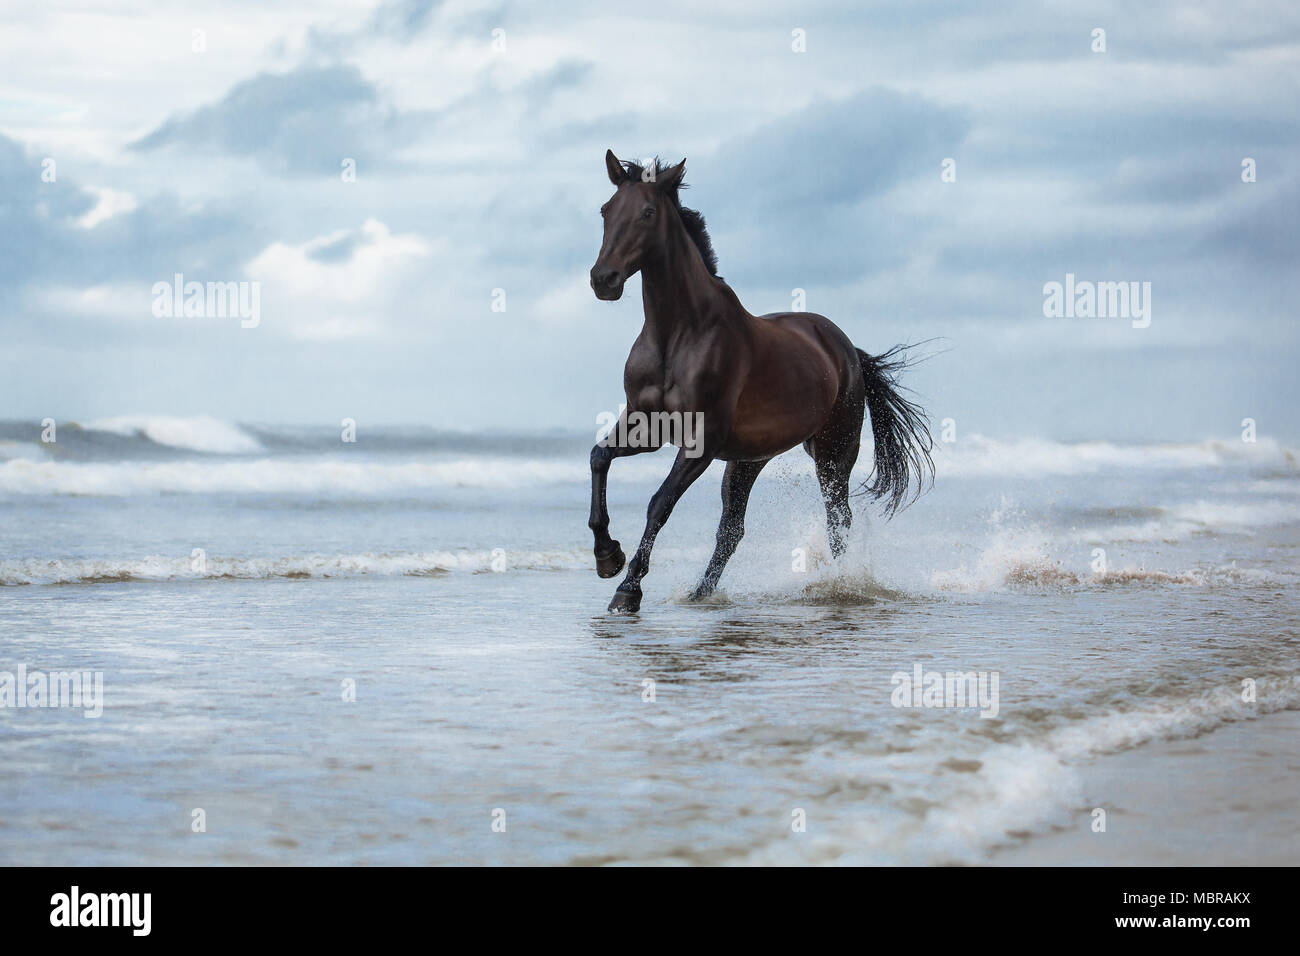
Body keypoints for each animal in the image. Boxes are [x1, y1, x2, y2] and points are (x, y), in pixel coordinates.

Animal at [587, 149, 932, 613]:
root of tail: (847, 350)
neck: (677, 334)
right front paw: (608, 556)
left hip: (833, 455)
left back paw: (842, 587)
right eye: (606, 210)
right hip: (747, 460)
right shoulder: (647, 425)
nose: (602, 279)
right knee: (732, 529)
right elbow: (599, 458)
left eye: (647, 212)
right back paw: (700, 593)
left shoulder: (701, 442)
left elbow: (659, 504)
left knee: (838, 523)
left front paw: (627, 590)